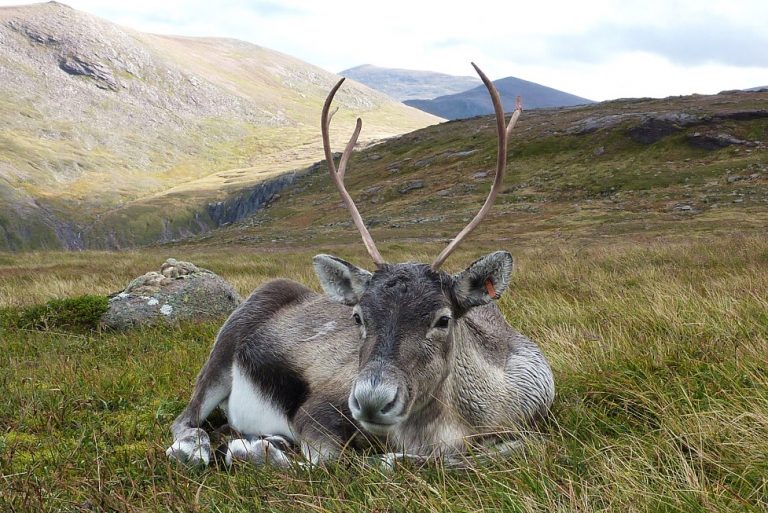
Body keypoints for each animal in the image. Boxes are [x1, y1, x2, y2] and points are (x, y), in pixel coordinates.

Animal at [166, 63, 555, 469]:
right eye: (358, 317)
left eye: (443, 319)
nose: (371, 400)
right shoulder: (318, 408)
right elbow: (330, 460)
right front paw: (253, 449)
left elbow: (496, 451)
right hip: (223, 350)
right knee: (185, 419)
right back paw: (198, 448)